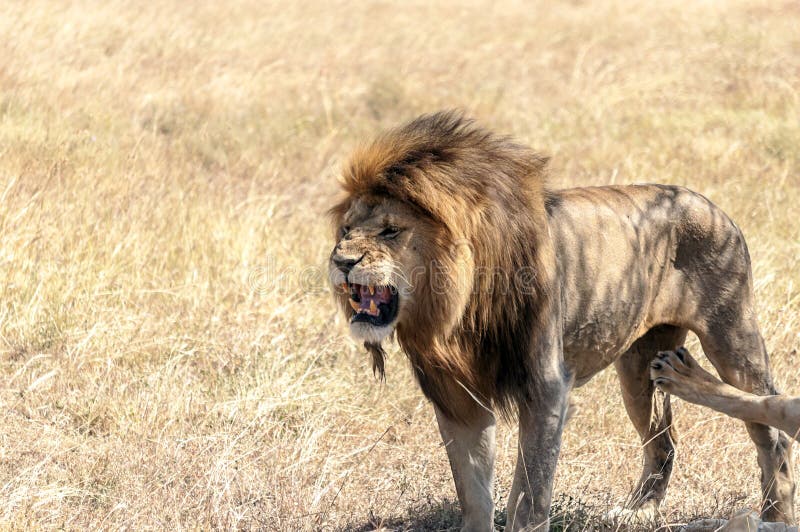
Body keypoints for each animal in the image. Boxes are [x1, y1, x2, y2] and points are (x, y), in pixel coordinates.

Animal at [327, 111, 795, 531]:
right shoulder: (459, 399)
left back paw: (775, 515)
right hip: (640, 366)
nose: (342, 261)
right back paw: (638, 512)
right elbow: (475, 493)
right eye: (346, 230)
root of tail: (710, 203)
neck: (457, 312)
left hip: (733, 339)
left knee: (770, 428)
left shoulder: (546, 388)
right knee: (663, 440)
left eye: (391, 231)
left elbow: (530, 495)